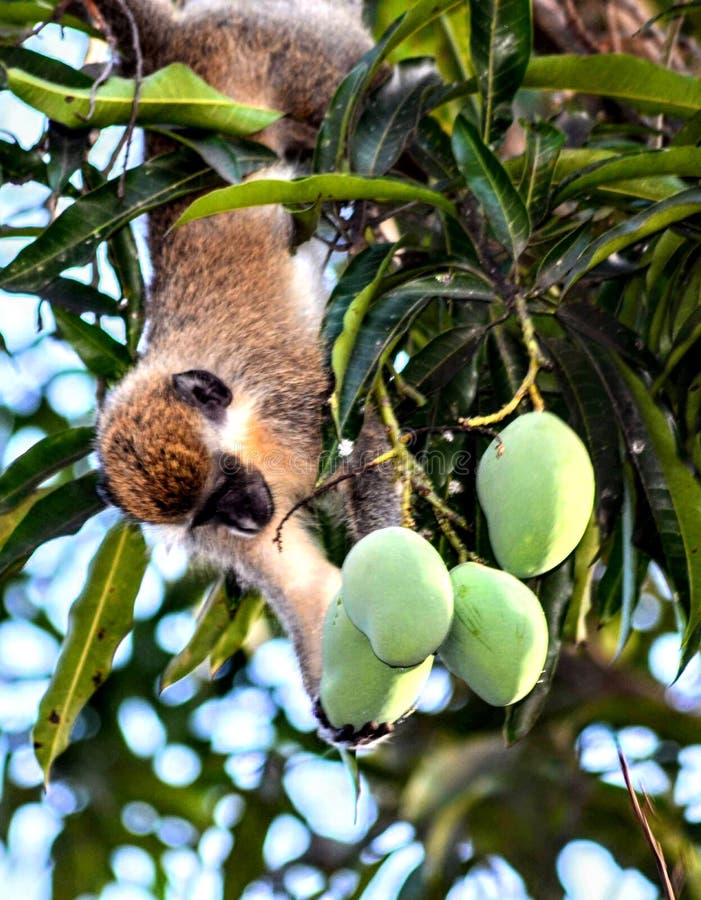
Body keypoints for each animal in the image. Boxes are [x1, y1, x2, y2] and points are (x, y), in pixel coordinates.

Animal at [91, 0, 400, 745]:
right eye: (209, 509)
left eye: (226, 479)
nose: (250, 514)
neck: (249, 425)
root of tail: (171, 47)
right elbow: (302, 584)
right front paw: (336, 707)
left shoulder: (299, 402)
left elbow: (370, 444)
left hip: (276, 38)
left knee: (358, 78)